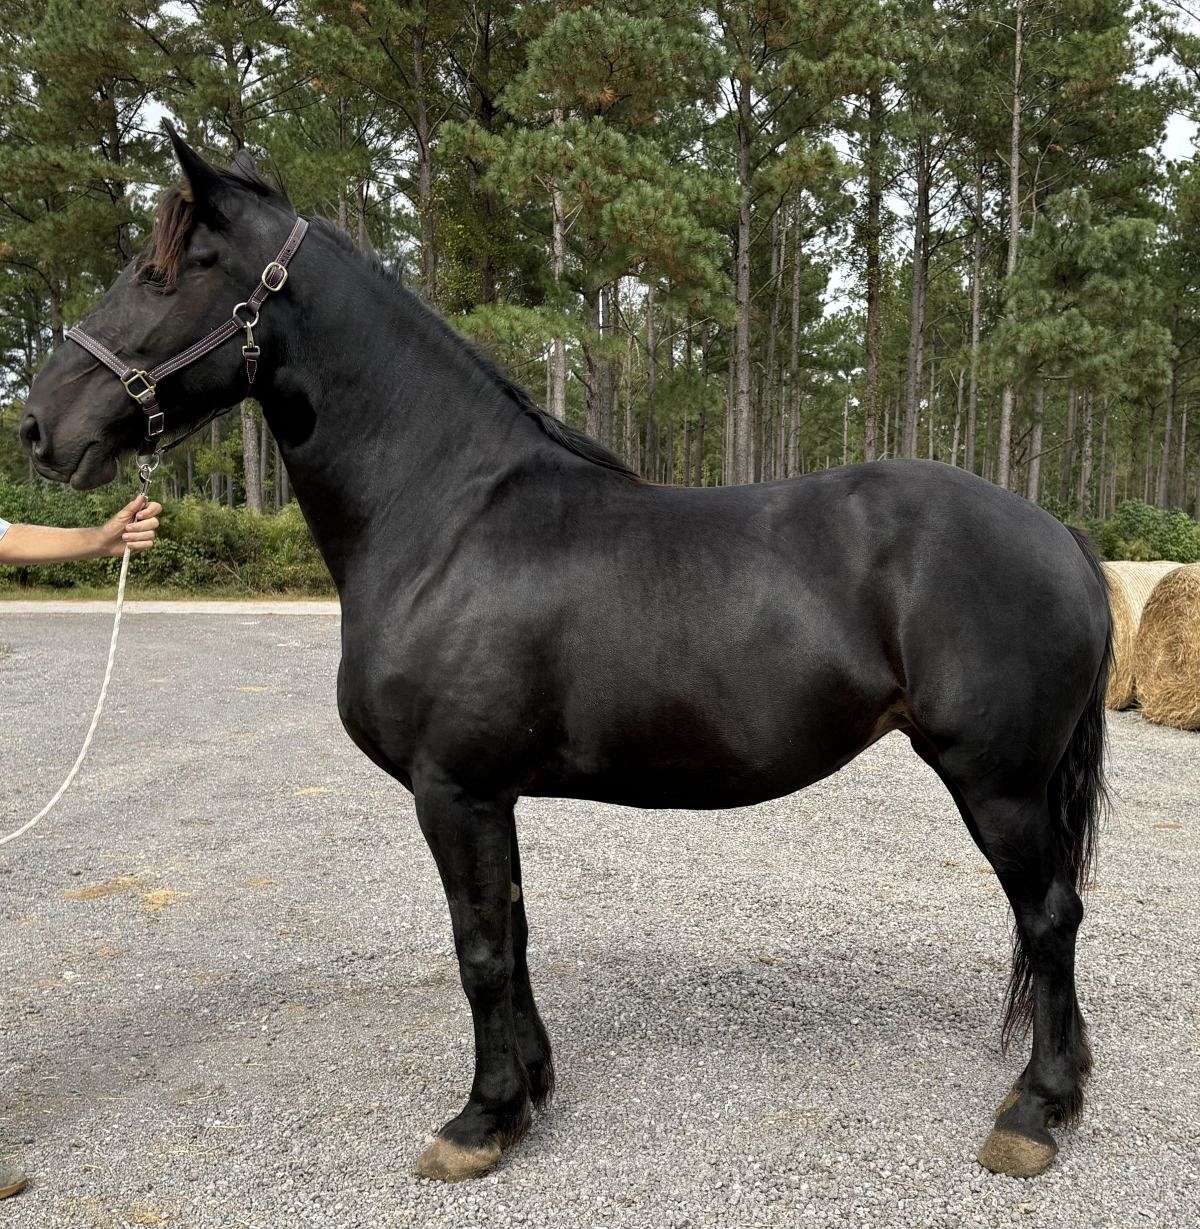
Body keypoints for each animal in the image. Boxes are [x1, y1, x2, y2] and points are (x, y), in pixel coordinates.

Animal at [21, 129, 1112, 1185]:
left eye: (167, 271)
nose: (39, 427)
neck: (445, 515)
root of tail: (1062, 535)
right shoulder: (488, 793)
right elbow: (513, 933)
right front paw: (528, 1091)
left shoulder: (451, 787)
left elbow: (479, 949)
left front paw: (479, 1120)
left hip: (999, 782)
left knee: (1051, 915)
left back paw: (1035, 1110)